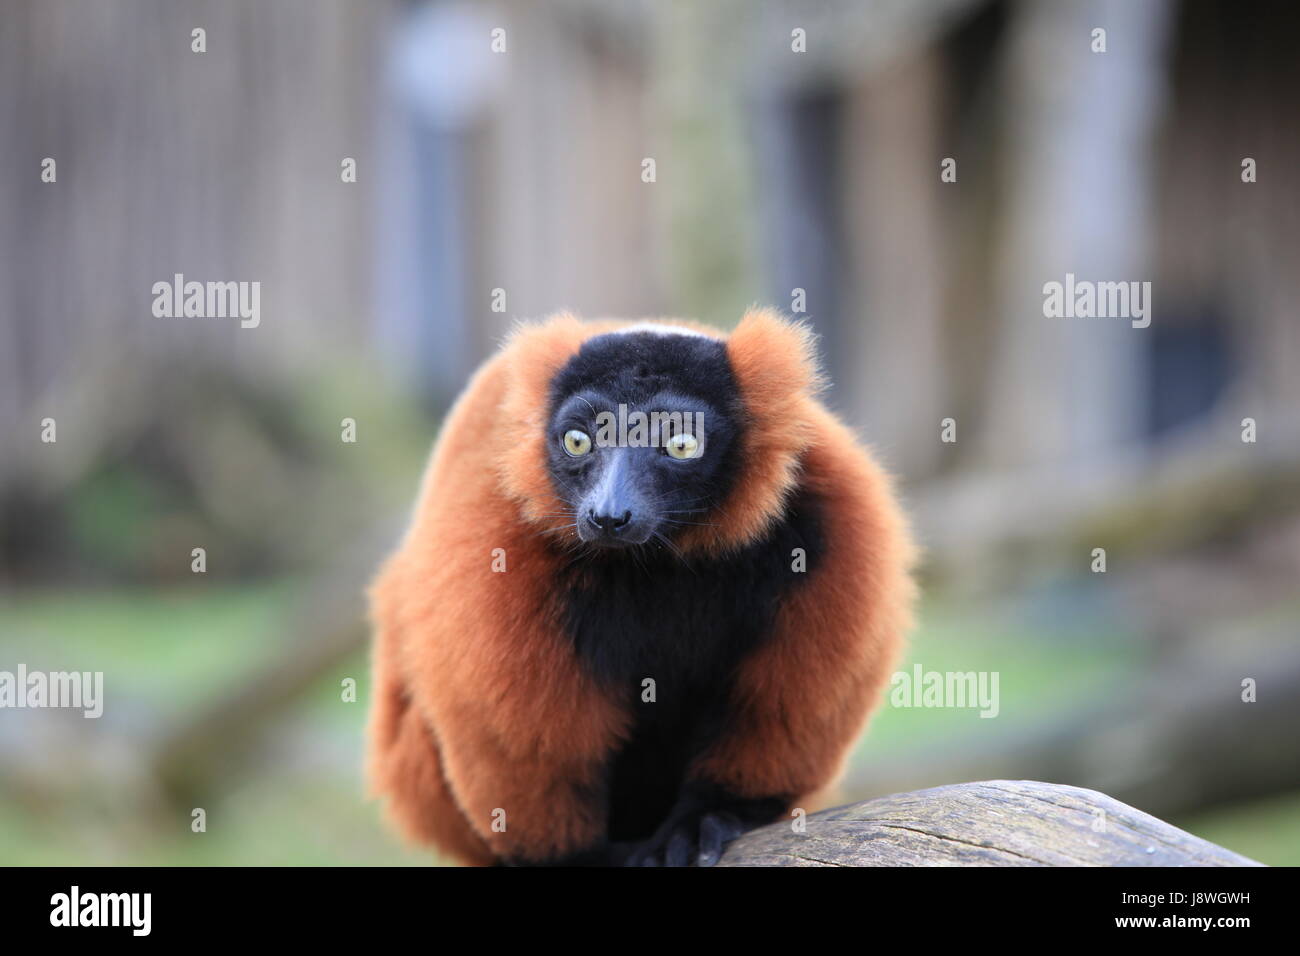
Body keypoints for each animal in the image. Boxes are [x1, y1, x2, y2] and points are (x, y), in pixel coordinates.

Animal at [366, 308, 916, 866]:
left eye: (680, 444)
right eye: (578, 441)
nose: (609, 516)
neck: (657, 554)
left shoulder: (828, 507)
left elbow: (783, 701)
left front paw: (711, 814)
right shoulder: (499, 527)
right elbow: (512, 729)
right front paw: (570, 857)